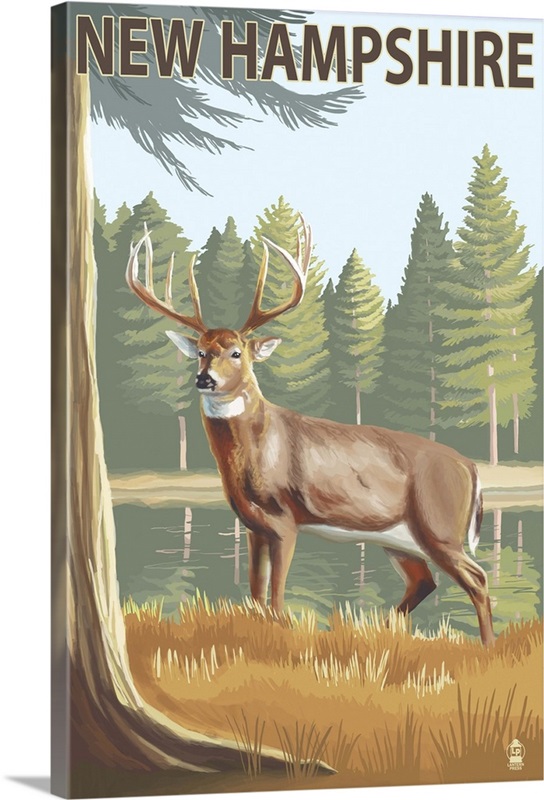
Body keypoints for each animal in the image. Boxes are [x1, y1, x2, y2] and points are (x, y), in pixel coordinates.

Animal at [126, 218, 495, 646]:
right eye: (201, 351)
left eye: (237, 353)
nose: (205, 379)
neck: (255, 454)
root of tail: (471, 468)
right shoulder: (252, 525)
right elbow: (255, 591)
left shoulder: (285, 518)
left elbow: (276, 595)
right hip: (399, 539)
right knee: (426, 582)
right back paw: (381, 628)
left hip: (440, 526)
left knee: (477, 578)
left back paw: (487, 646)